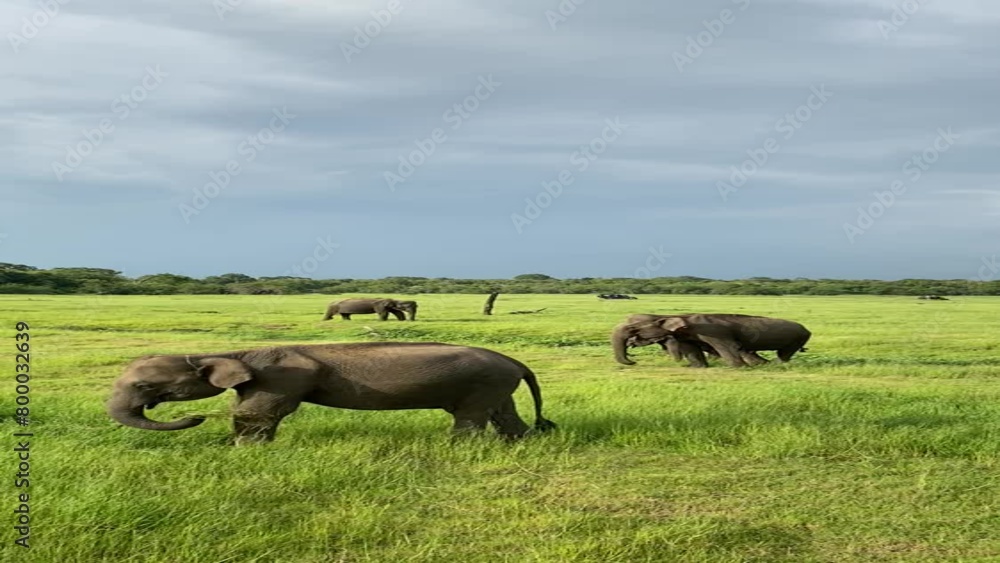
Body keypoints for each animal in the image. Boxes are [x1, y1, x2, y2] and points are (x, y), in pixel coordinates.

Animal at [612, 313, 810, 368]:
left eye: (634, 329)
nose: (633, 362)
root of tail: (807, 329)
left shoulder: (713, 332)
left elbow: (729, 347)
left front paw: (738, 368)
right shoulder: (684, 336)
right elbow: (692, 349)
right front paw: (696, 367)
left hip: (798, 338)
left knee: (783, 354)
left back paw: (776, 365)